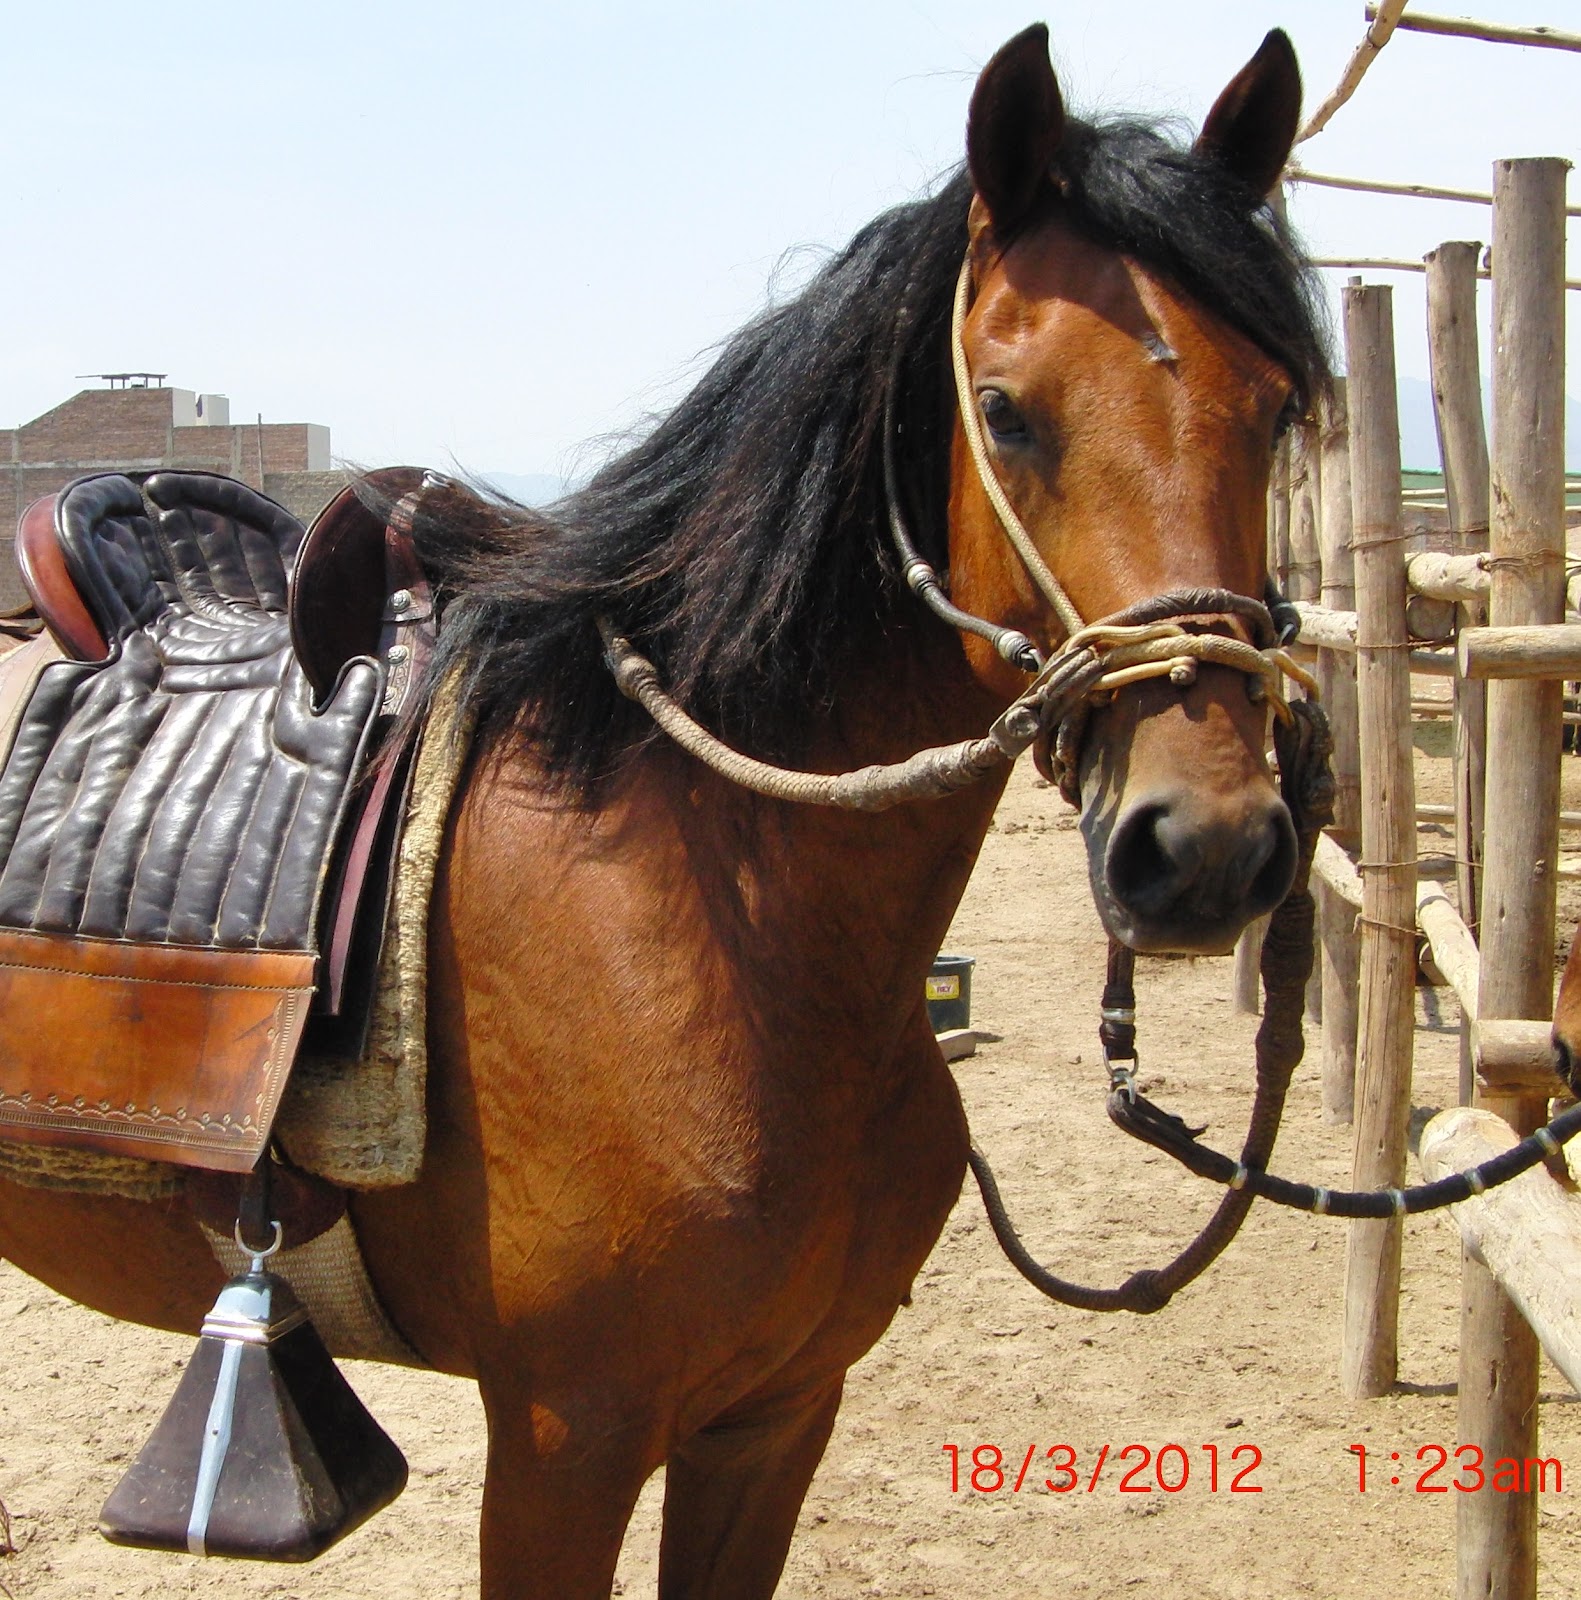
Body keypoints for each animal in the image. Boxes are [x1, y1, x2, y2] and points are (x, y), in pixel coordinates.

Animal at [0, 23, 1328, 1598]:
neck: (709, 930)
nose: (1207, 846)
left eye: (1280, 410)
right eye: (1007, 413)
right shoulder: (566, 1439)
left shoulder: (776, 1414)